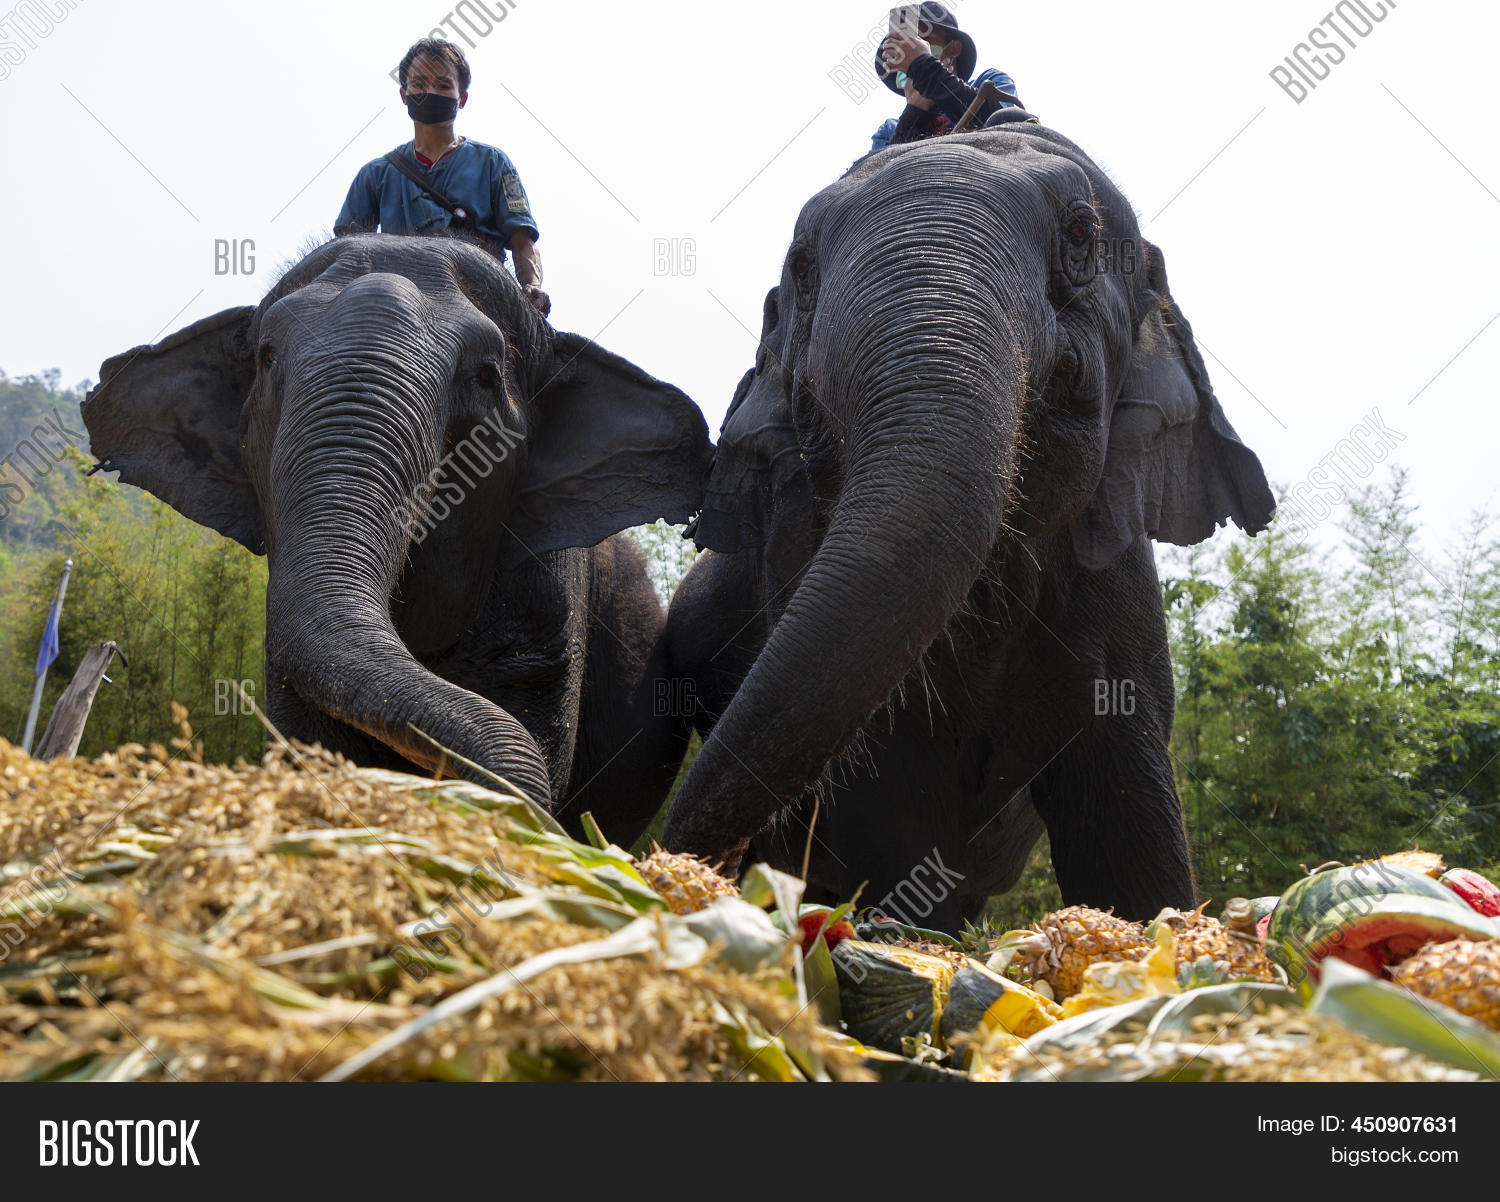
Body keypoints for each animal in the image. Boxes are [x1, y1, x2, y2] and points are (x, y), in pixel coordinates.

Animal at [661, 122, 1275, 926]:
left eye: (1081, 234)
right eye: (801, 266)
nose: (682, 865)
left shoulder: (1115, 575)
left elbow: (1123, 798)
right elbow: (891, 795)